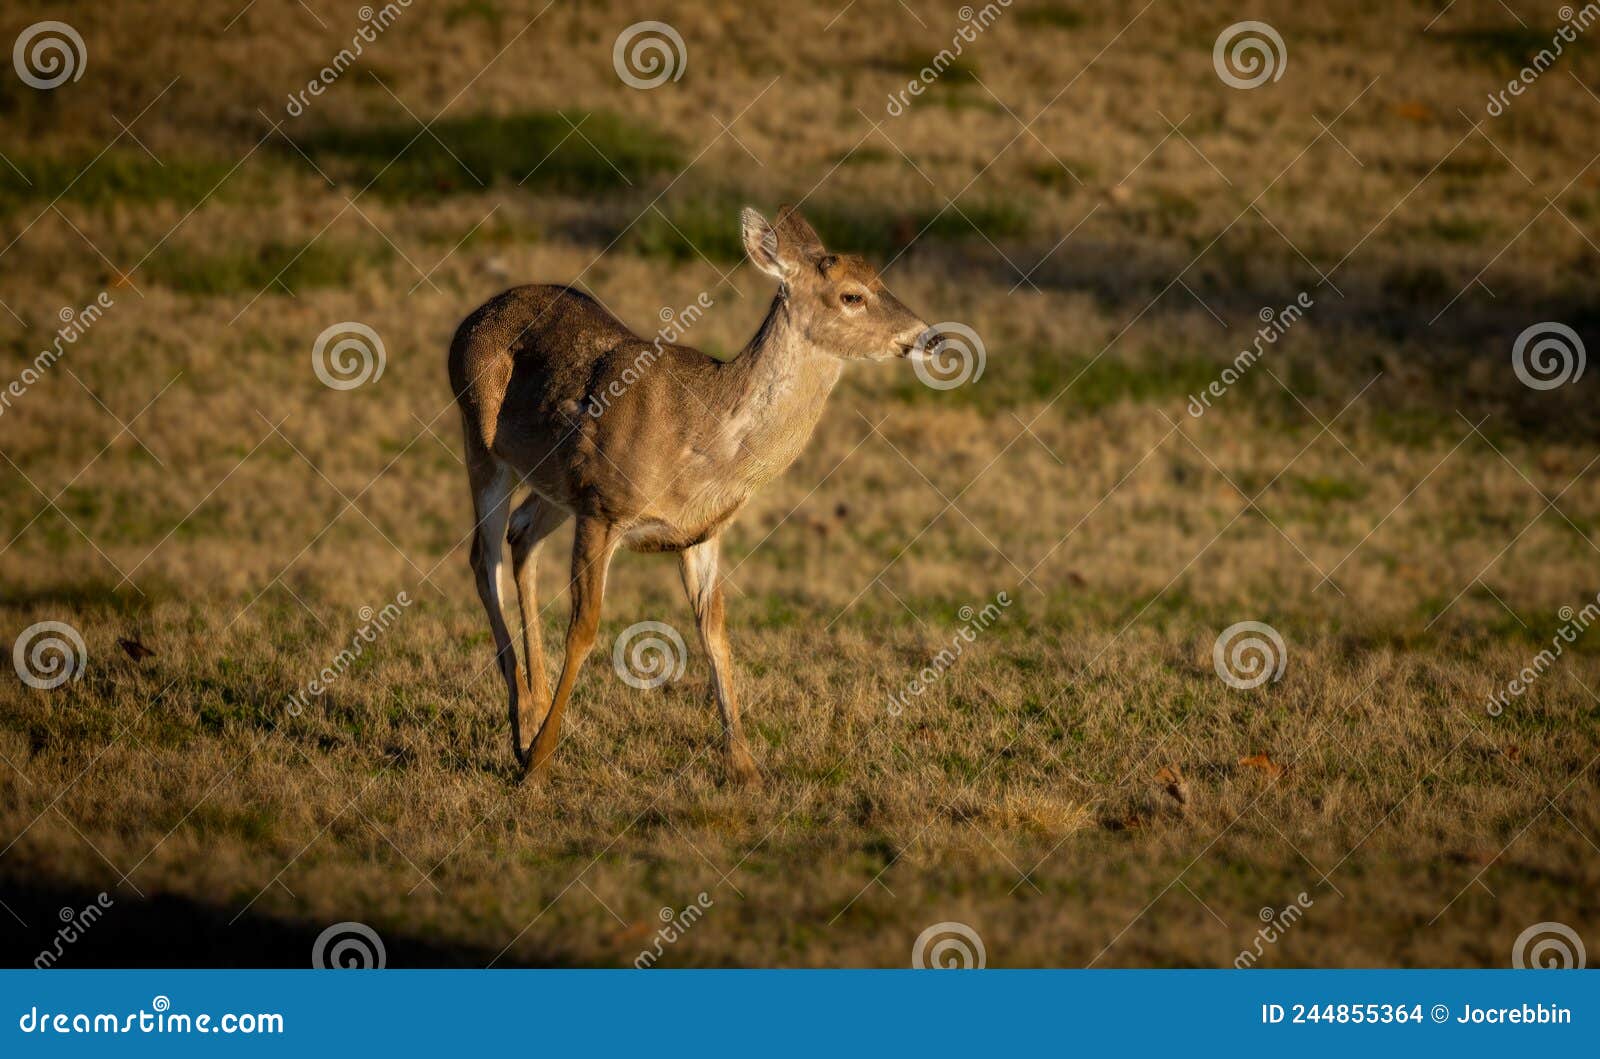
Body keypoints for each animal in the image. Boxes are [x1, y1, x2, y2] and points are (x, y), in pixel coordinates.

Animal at [448, 205, 940, 785]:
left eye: (881, 279)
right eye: (852, 295)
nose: (929, 337)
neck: (706, 444)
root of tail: (467, 323)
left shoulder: (701, 534)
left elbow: (715, 631)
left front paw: (746, 767)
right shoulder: (604, 508)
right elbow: (585, 629)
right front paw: (541, 763)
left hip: (554, 482)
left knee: (521, 536)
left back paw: (533, 708)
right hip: (481, 442)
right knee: (483, 559)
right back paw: (526, 724)